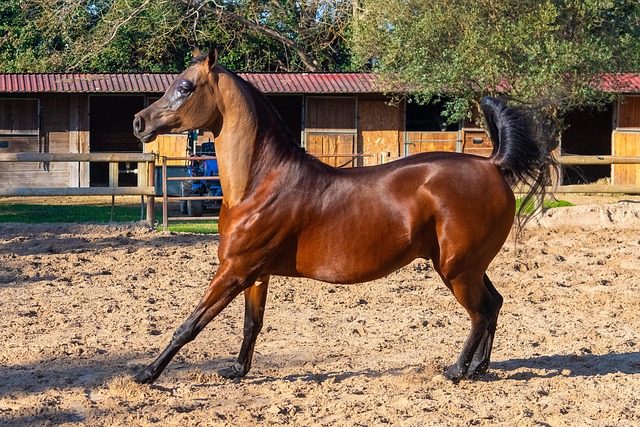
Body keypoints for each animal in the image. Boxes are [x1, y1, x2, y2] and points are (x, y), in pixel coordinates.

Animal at [132, 49, 555, 384]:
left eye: (185, 87)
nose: (139, 122)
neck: (259, 183)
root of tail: (493, 165)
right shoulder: (255, 273)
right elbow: (252, 324)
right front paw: (236, 371)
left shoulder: (234, 270)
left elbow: (189, 326)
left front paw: (146, 374)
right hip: (465, 265)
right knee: (495, 303)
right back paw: (481, 368)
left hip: (457, 269)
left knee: (480, 313)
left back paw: (457, 371)